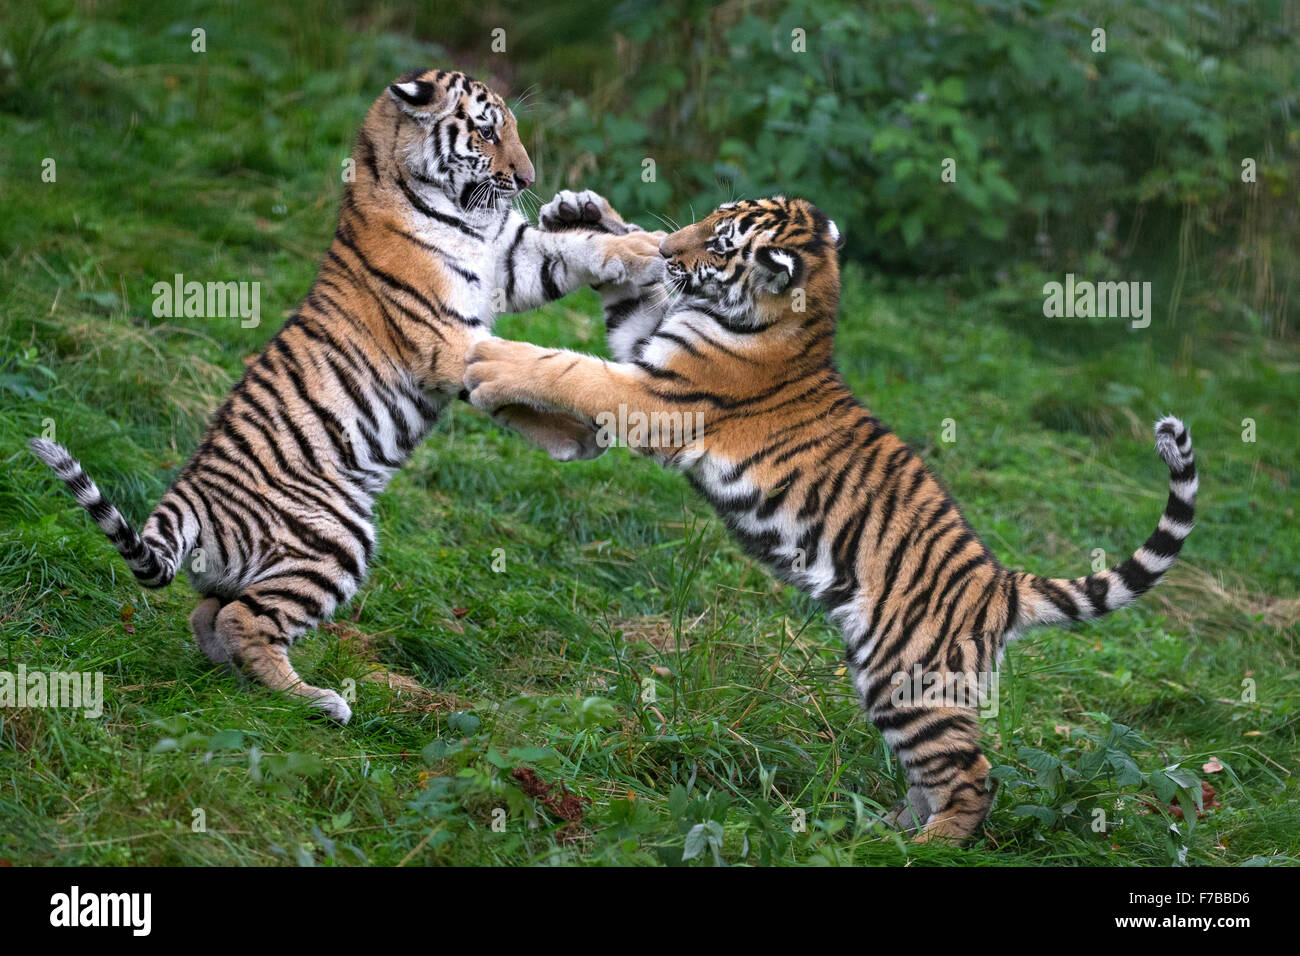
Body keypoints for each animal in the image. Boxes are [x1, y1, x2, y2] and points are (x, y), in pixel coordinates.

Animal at [27, 70, 661, 724]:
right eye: (487, 132)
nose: (530, 180)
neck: (456, 206)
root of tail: (186, 501)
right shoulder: (445, 339)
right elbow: (519, 367)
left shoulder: (516, 259)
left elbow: (574, 257)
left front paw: (643, 252)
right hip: (333, 539)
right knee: (242, 621)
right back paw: (315, 702)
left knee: (208, 612)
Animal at [463, 193, 1198, 842]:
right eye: (709, 219)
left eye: (719, 245)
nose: (671, 250)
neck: (797, 317)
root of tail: (1000, 583)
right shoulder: (645, 346)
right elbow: (624, 306)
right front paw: (583, 212)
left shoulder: (657, 395)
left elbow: (570, 369)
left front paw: (494, 358)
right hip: (896, 687)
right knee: (937, 774)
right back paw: (886, 830)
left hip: (911, 680)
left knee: (975, 776)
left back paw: (924, 849)